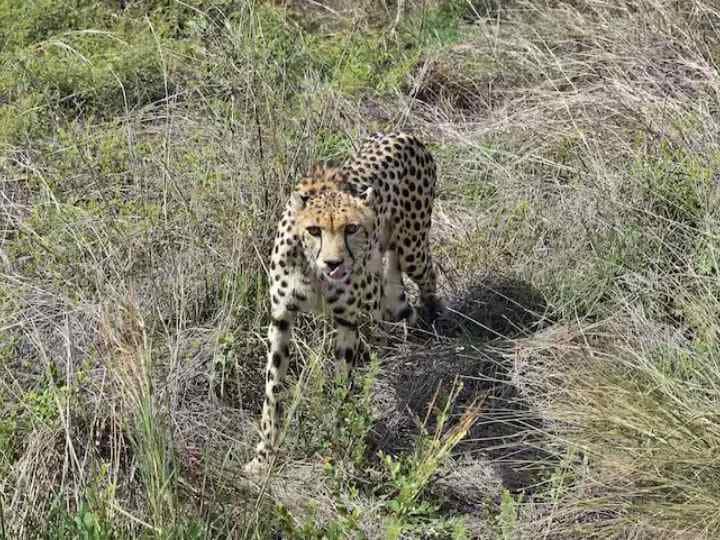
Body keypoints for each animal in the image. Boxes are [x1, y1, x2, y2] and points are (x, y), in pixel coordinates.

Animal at [244, 132, 443, 474]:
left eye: (351, 228)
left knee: (427, 277)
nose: (334, 263)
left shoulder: (347, 320)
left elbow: (342, 381)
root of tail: (403, 133)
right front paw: (264, 455)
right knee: (398, 303)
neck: (314, 272)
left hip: (411, 249)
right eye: (314, 230)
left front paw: (340, 434)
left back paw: (433, 320)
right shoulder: (281, 318)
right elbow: (273, 389)